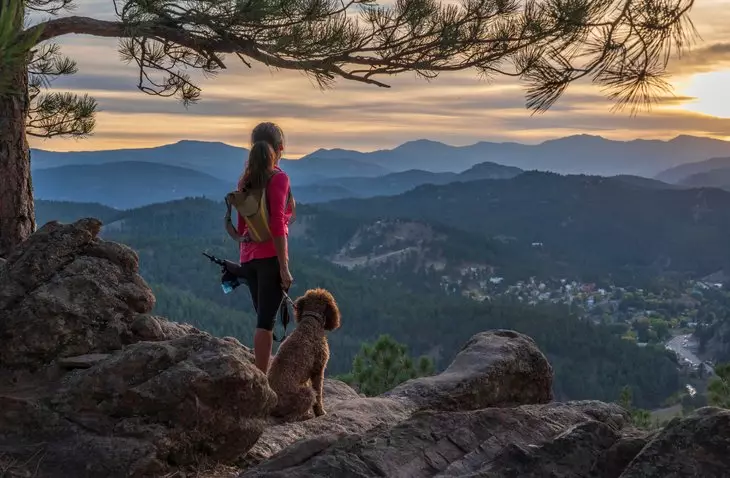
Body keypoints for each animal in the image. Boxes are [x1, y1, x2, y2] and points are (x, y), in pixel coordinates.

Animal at [266, 286, 340, 420]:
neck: (311, 322)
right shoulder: (318, 370)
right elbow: (319, 394)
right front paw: (320, 412)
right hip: (307, 393)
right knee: (291, 416)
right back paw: (304, 416)